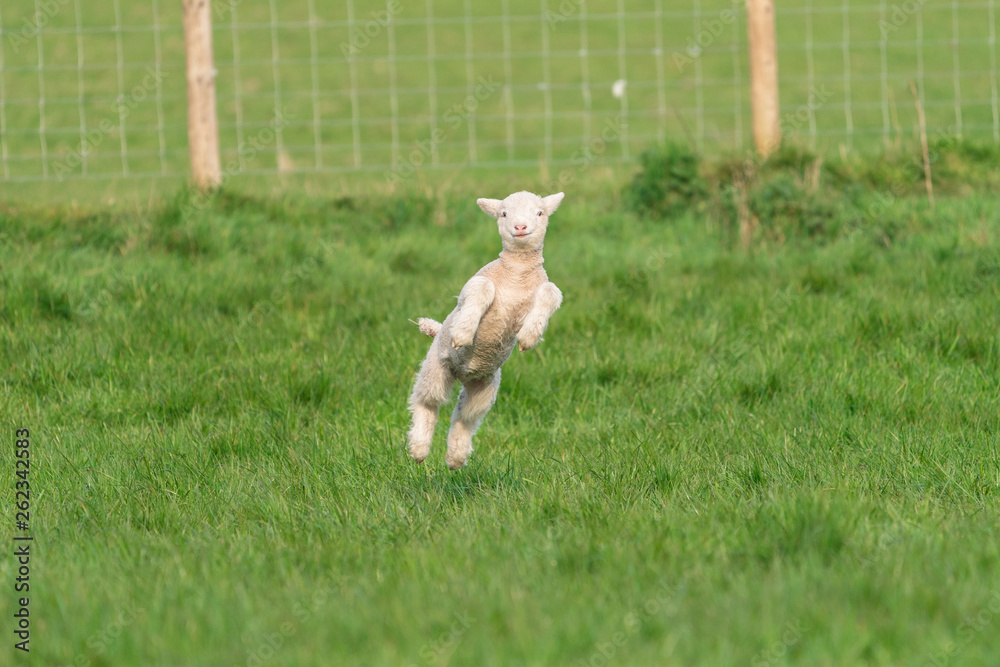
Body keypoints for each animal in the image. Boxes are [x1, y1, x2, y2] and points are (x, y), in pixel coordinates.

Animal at [407, 191, 565, 470]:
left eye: (540, 212)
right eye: (504, 213)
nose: (520, 227)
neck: (516, 276)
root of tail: (462, 373)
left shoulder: (535, 297)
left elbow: (551, 291)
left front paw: (529, 336)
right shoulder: (474, 285)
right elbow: (483, 287)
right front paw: (463, 332)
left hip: (485, 387)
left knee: (465, 416)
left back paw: (455, 458)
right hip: (436, 367)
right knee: (426, 401)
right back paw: (419, 448)